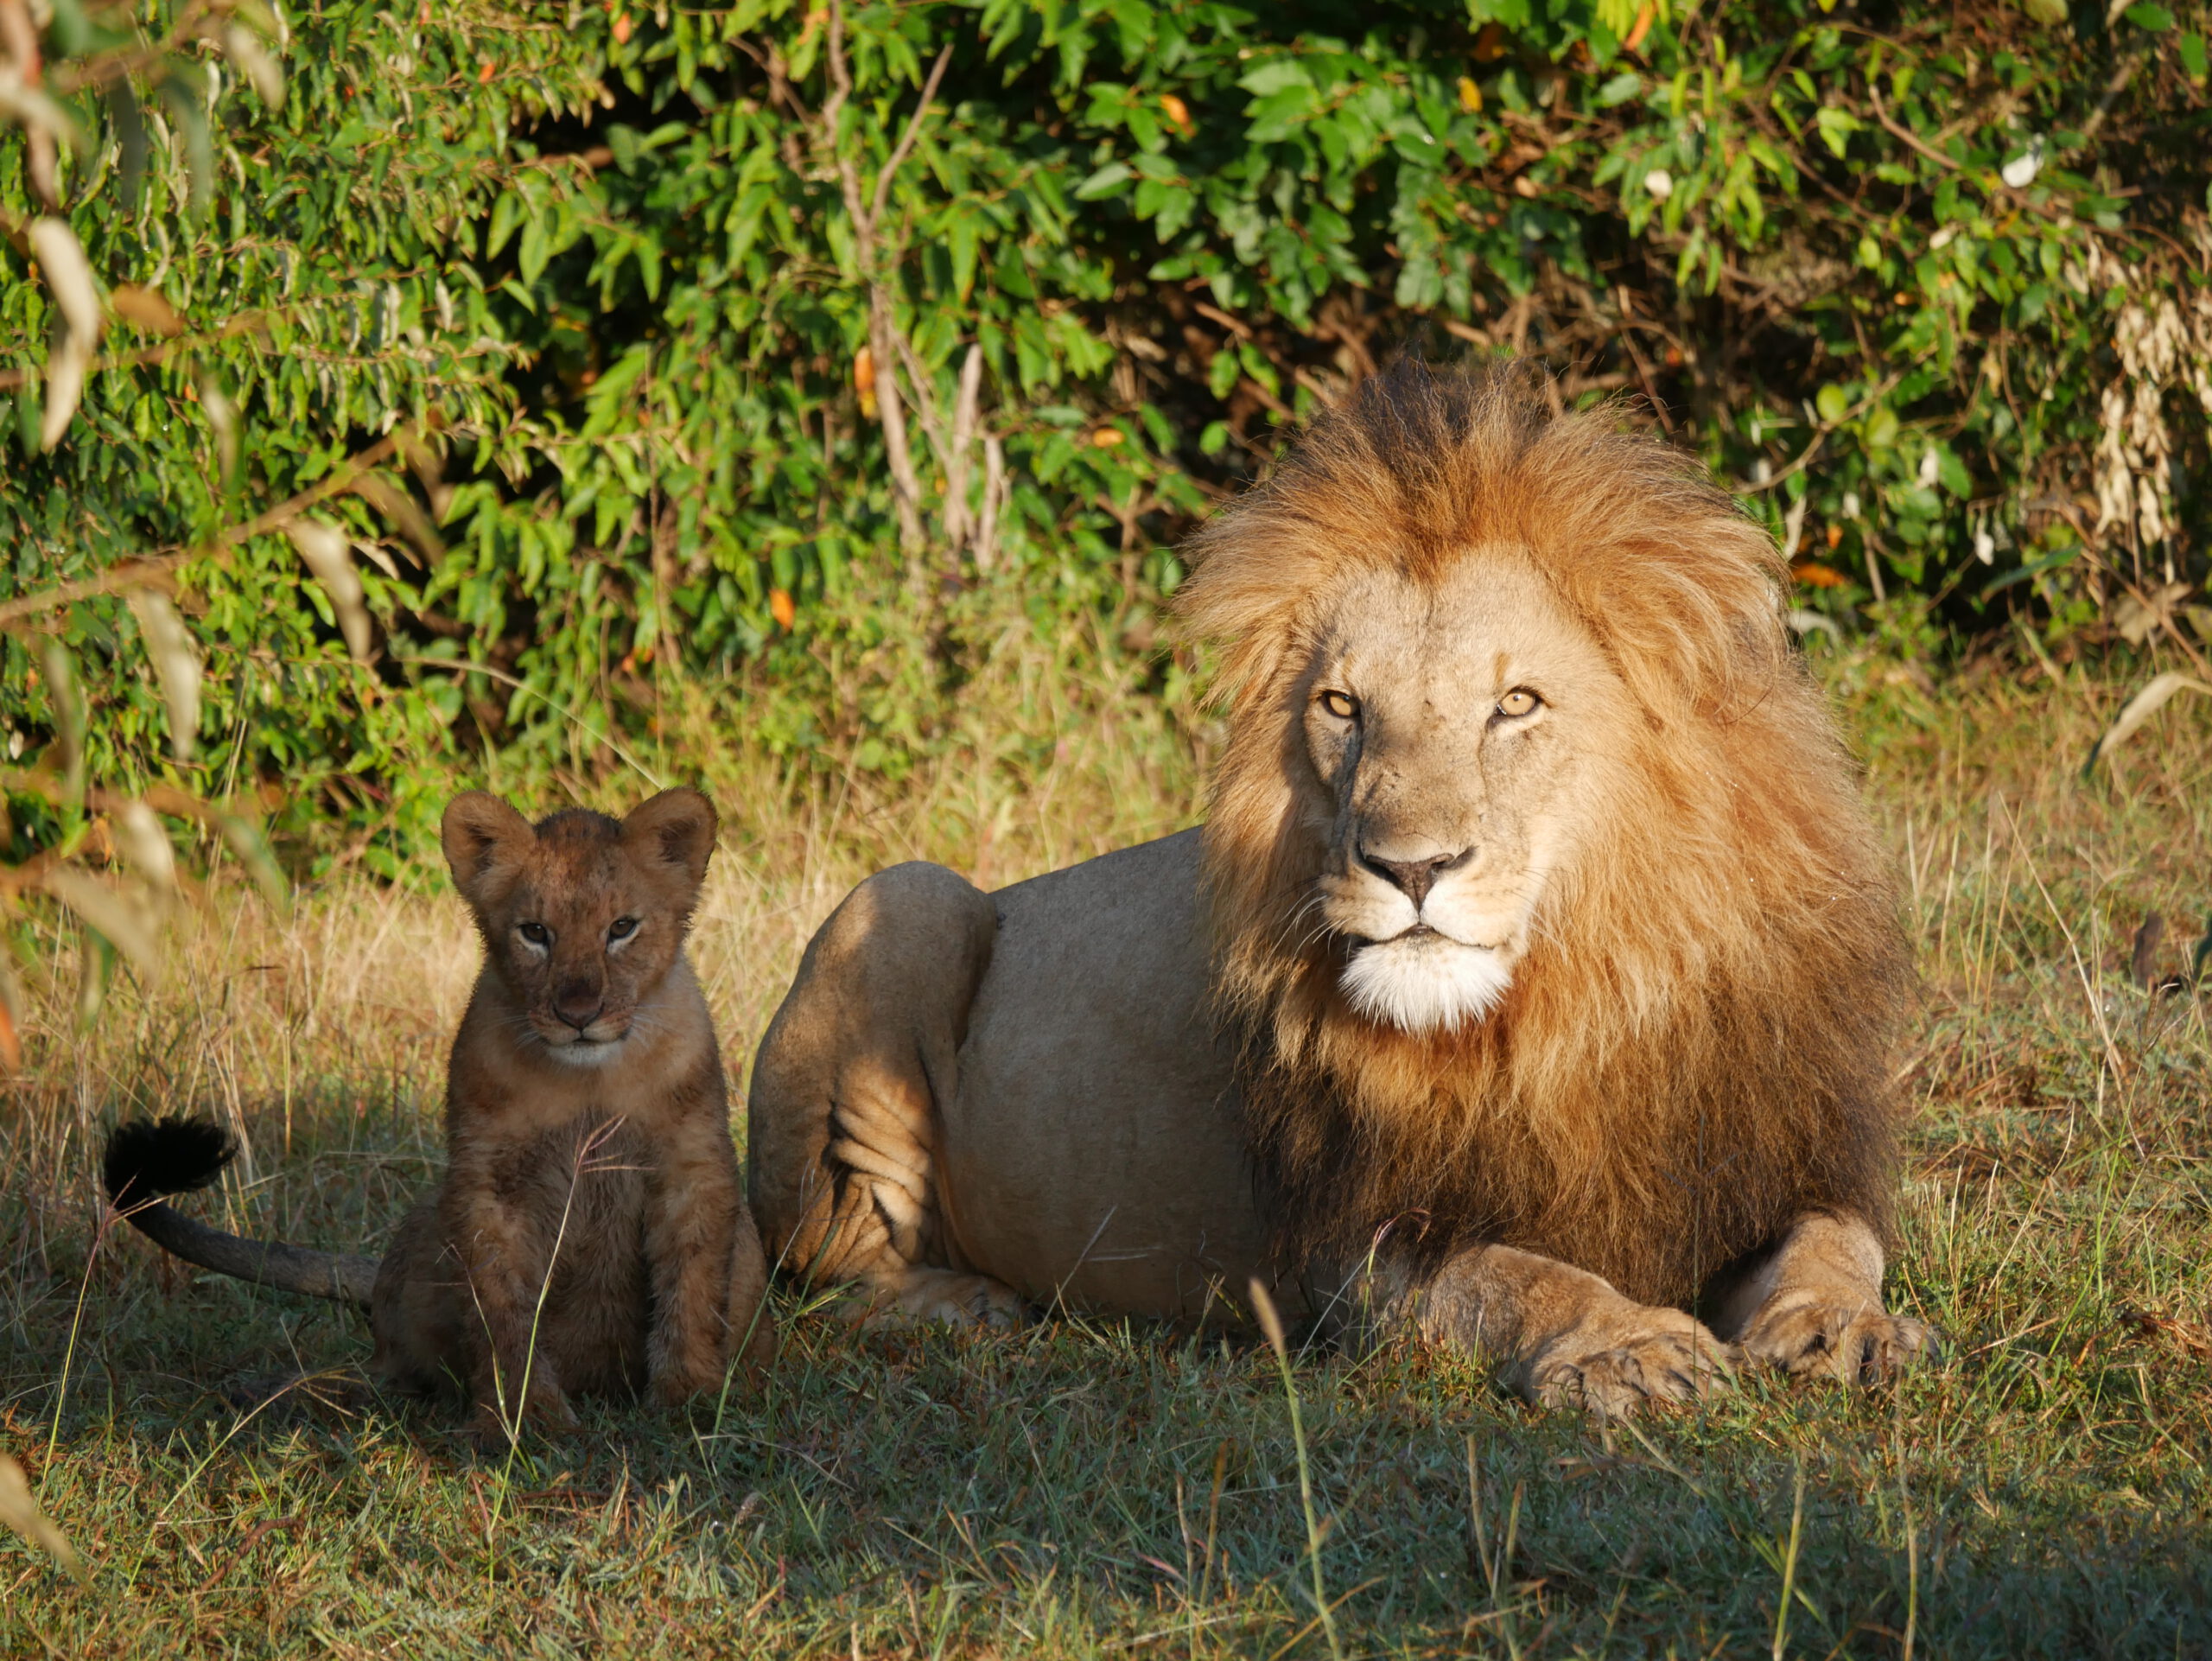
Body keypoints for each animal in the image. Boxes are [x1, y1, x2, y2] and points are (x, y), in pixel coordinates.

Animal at [105, 788, 773, 1445]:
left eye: (623, 928)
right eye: (536, 932)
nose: (578, 1013)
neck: (590, 1083)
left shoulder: (692, 1166)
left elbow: (691, 1289)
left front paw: (691, 1400)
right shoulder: (487, 1184)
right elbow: (502, 1309)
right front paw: (525, 1416)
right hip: (425, 1229)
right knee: (385, 1370)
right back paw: (277, 1393)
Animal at [748, 361, 1932, 1417]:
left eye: (1515, 702)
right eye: (1341, 706)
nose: (1408, 866)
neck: (1574, 1003)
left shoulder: (1774, 1146)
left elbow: (1840, 1237)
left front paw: (1847, 1326)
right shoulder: (1350, 1253)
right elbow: (1518, 1274)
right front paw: (1629, 1346)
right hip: (900, 900)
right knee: (826, 1266)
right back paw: (966, 1304)